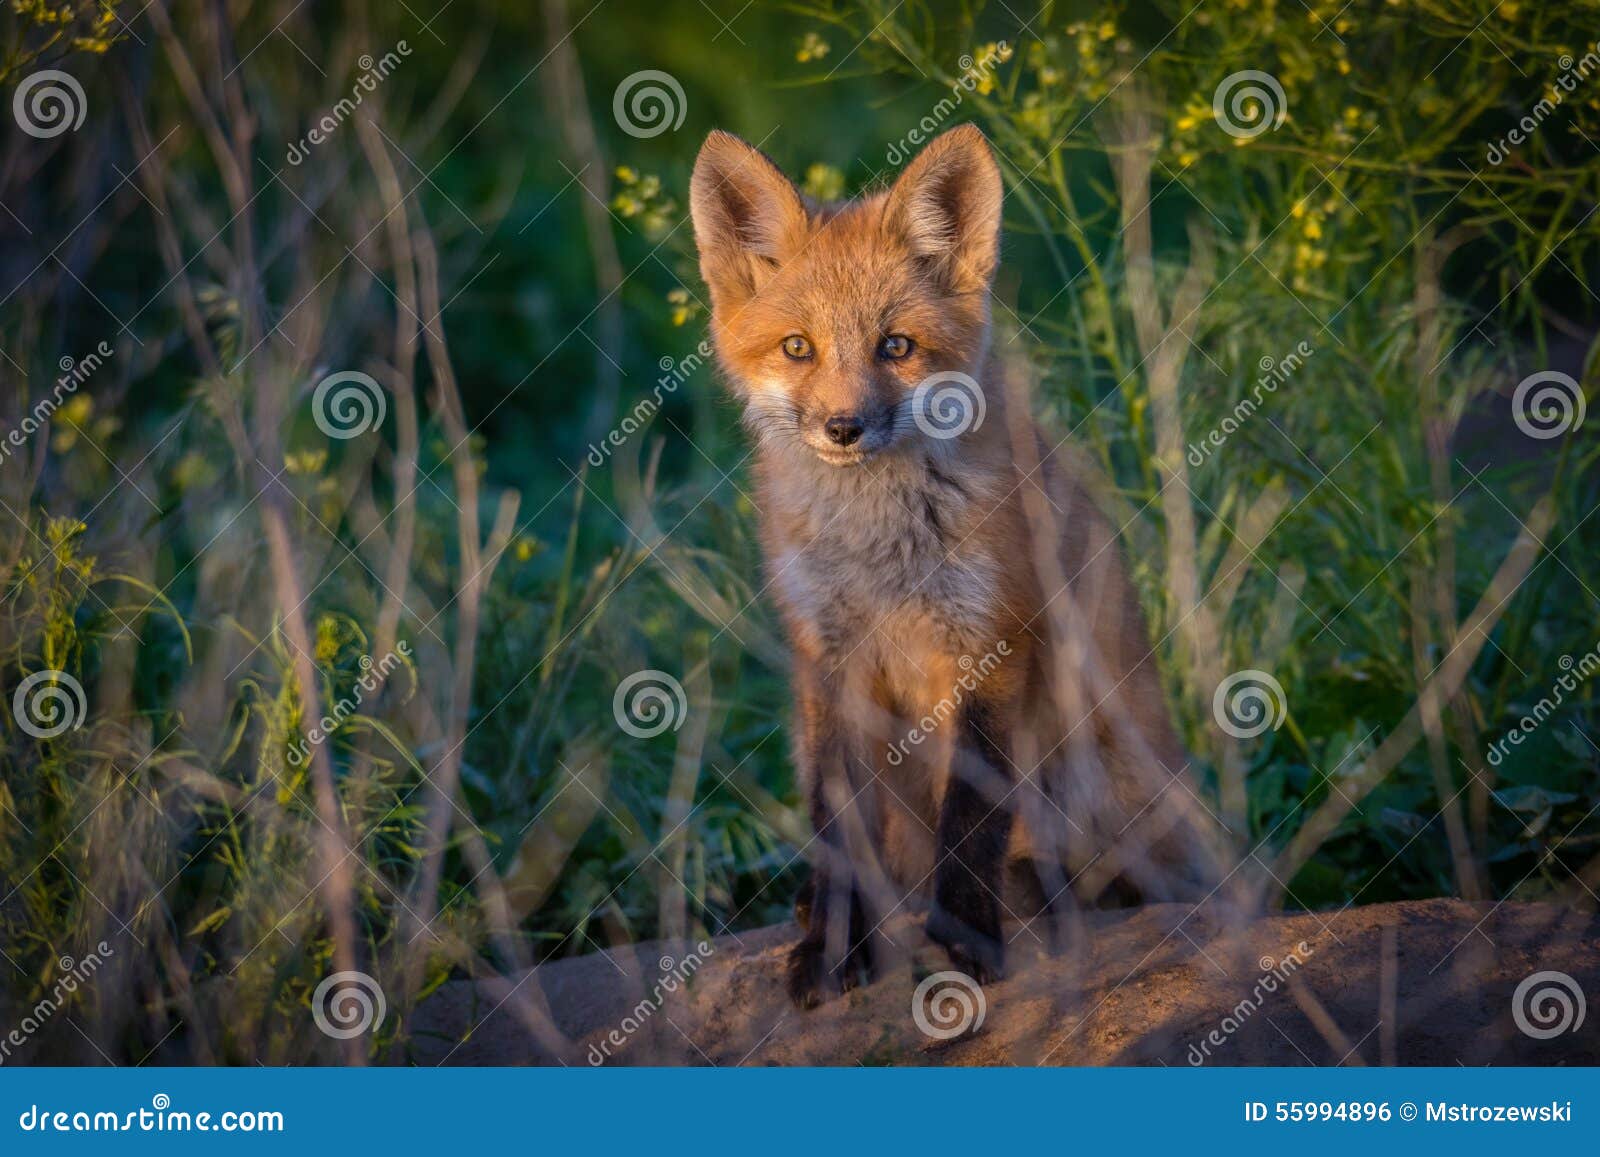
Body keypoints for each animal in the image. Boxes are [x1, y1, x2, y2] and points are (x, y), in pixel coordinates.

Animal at [689, 124, 1215, 1008]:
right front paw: (835, 946)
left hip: (1090, 745)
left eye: (896, 346)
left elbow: (971, 817)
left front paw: (964, 941)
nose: (843, 428)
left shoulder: (990, 643)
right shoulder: (827, 658)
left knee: (1112, 874)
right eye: (798, 348)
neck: (878, 554)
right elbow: (839, 825)